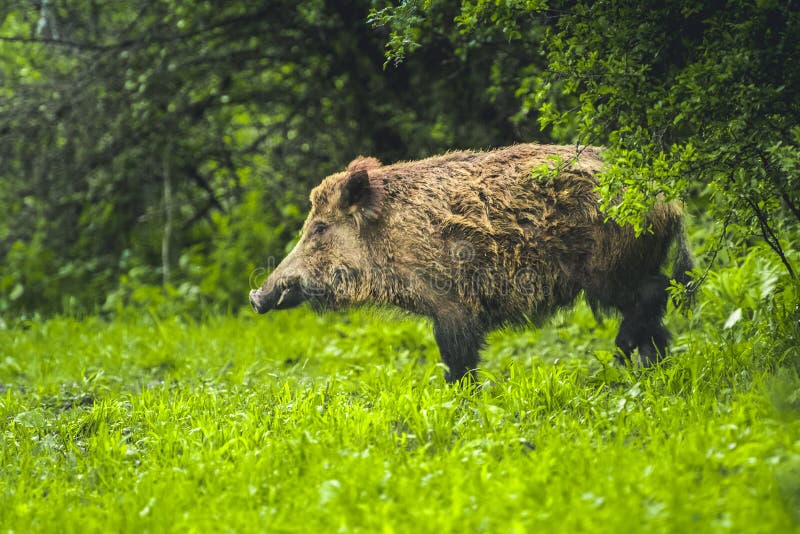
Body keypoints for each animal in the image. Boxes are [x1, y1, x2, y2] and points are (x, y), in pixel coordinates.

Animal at [249, 144, 693, 382]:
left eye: (319, 227)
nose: (257, 296)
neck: (390, 238)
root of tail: (667, 198)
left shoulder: (451, 305)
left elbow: (457, 358)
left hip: (611, 270)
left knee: (655, 293)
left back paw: (621, 353)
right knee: (657, 316)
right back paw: (650, 367)